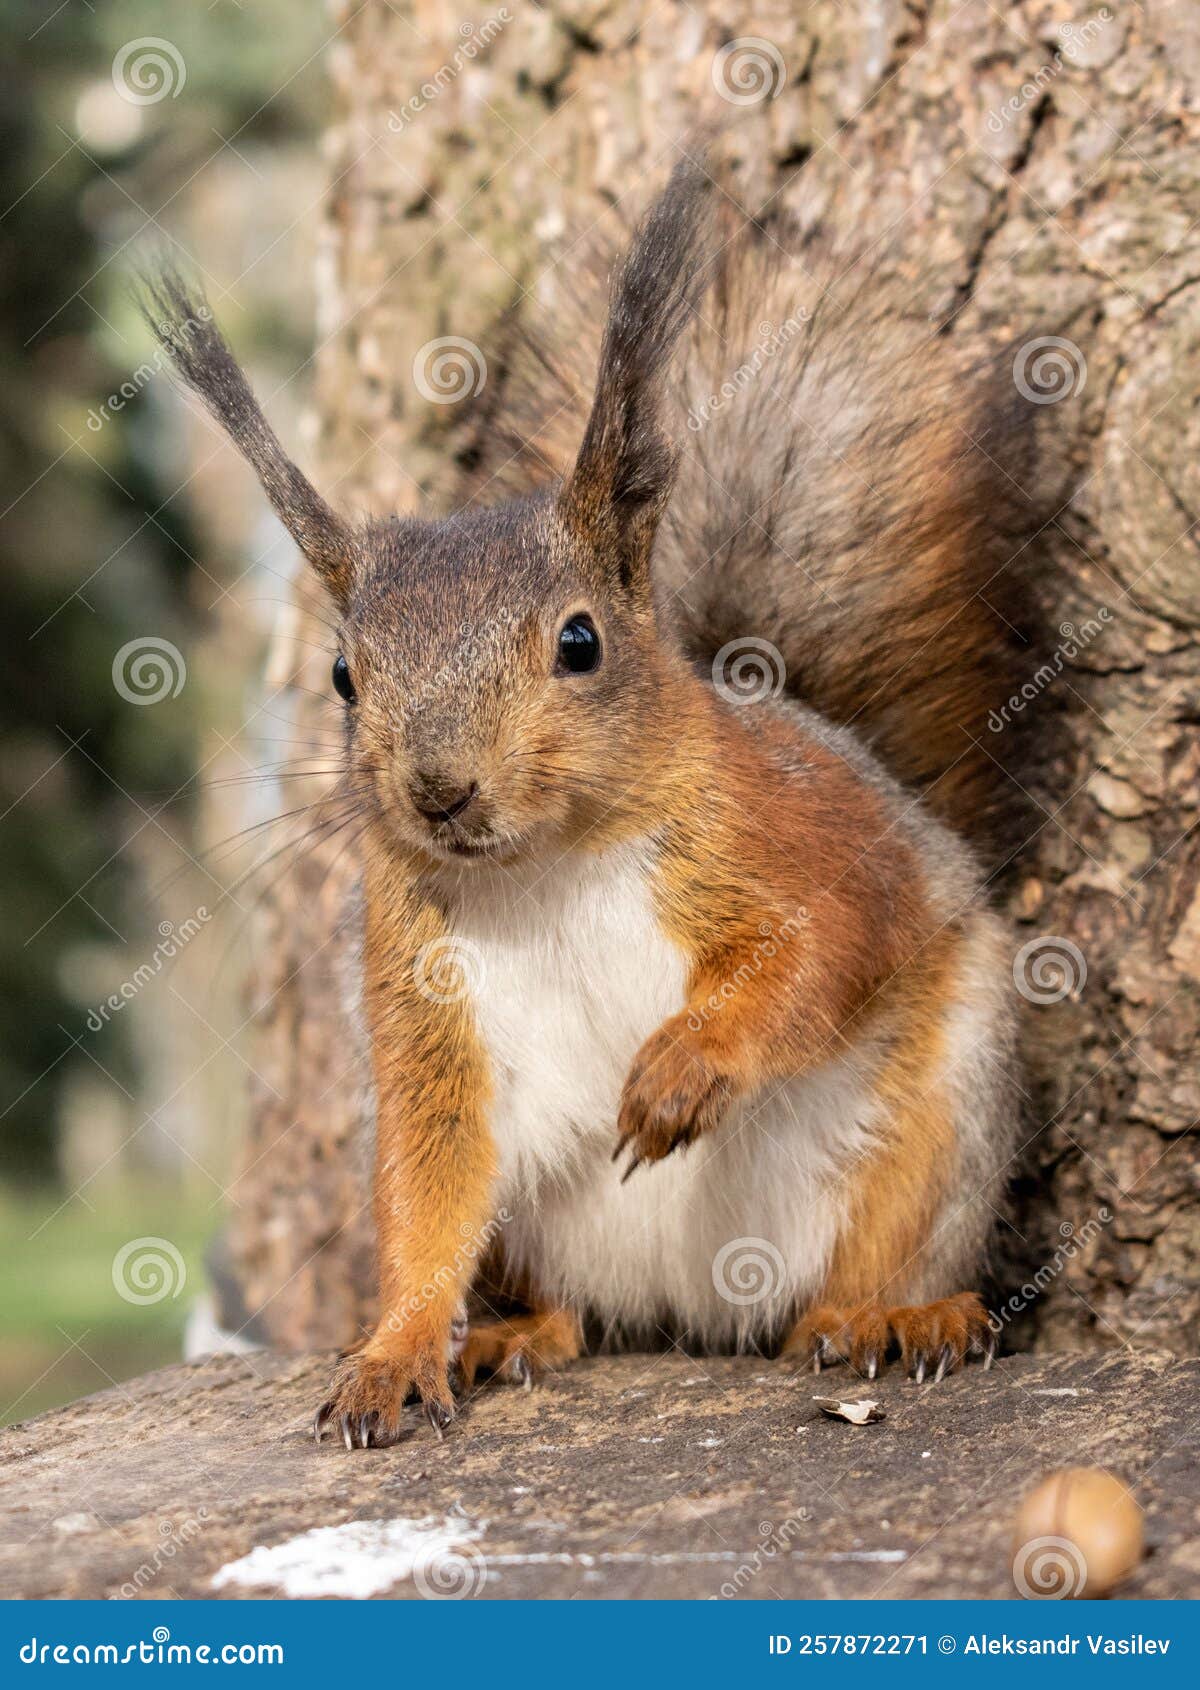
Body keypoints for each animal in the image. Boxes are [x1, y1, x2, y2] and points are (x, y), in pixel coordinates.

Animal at [148, 146, 1042, 1451]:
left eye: (580, 643)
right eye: (344, 676)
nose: (438, 789)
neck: (547, 868)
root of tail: (692, 1303)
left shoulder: (804, 829)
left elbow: (826, 946)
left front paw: (684, 1067)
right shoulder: (423, 995)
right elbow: (428, 1181)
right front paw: (395, 1353)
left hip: (936, 1126)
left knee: (869, 1262)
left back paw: (894, 1315)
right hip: (543, 1234)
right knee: (556, 1294)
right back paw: (513, 1335)